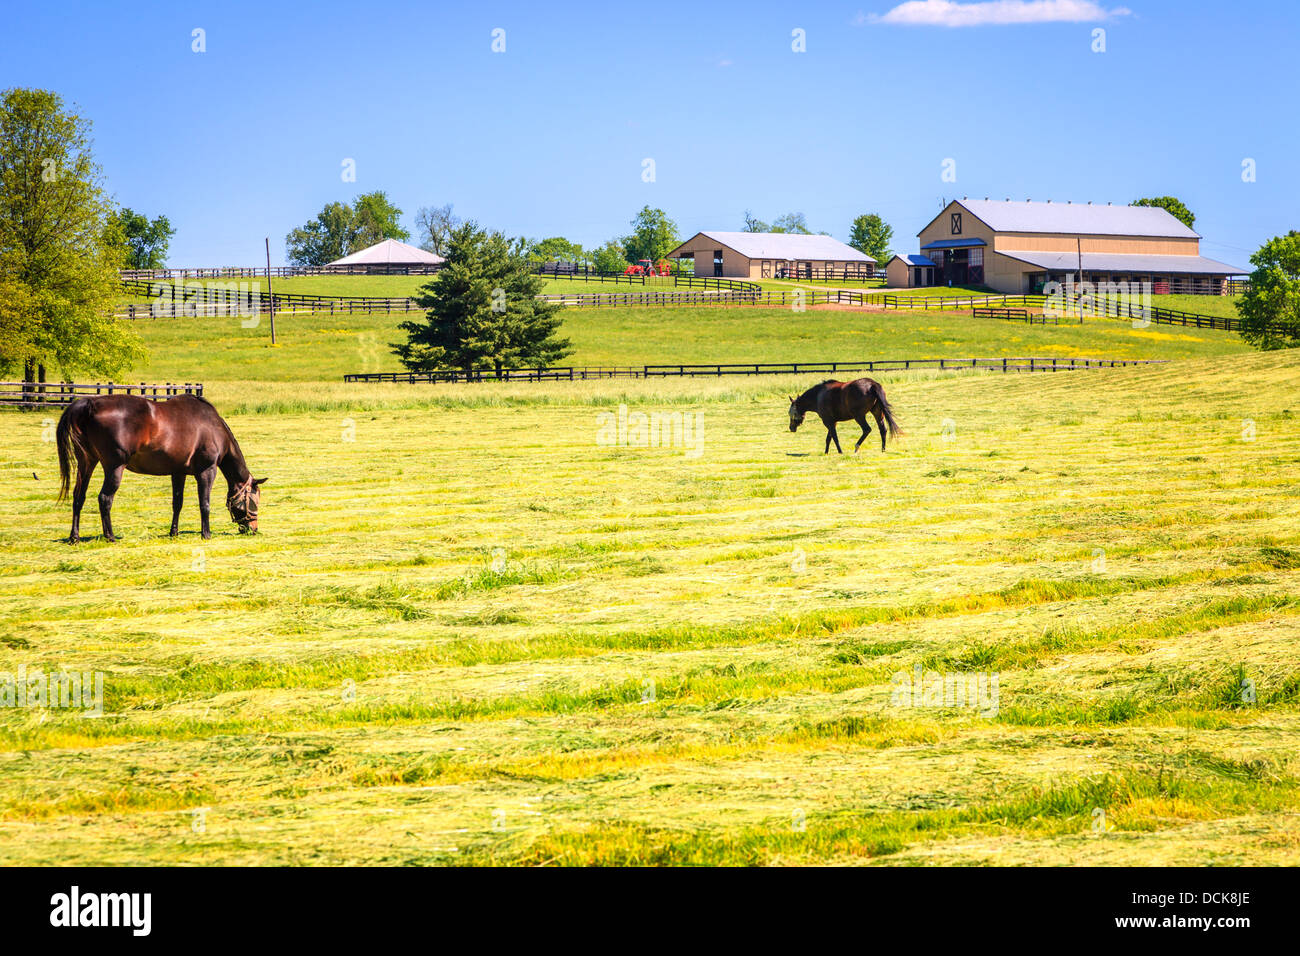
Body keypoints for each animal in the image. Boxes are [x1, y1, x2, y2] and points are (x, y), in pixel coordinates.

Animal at [56, 394, 266, 543]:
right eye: (255, 499)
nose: (254, 528)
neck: (213, 427)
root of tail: (90, 403)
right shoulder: (207, 471)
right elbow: (204, 504)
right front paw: (206, 534)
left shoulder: (178, 472)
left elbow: (177, 503)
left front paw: (174, 532)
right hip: (114, 467)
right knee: (105, 499)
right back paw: (110, 536)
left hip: (87, 462)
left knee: (79, 496)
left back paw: (74, 537)